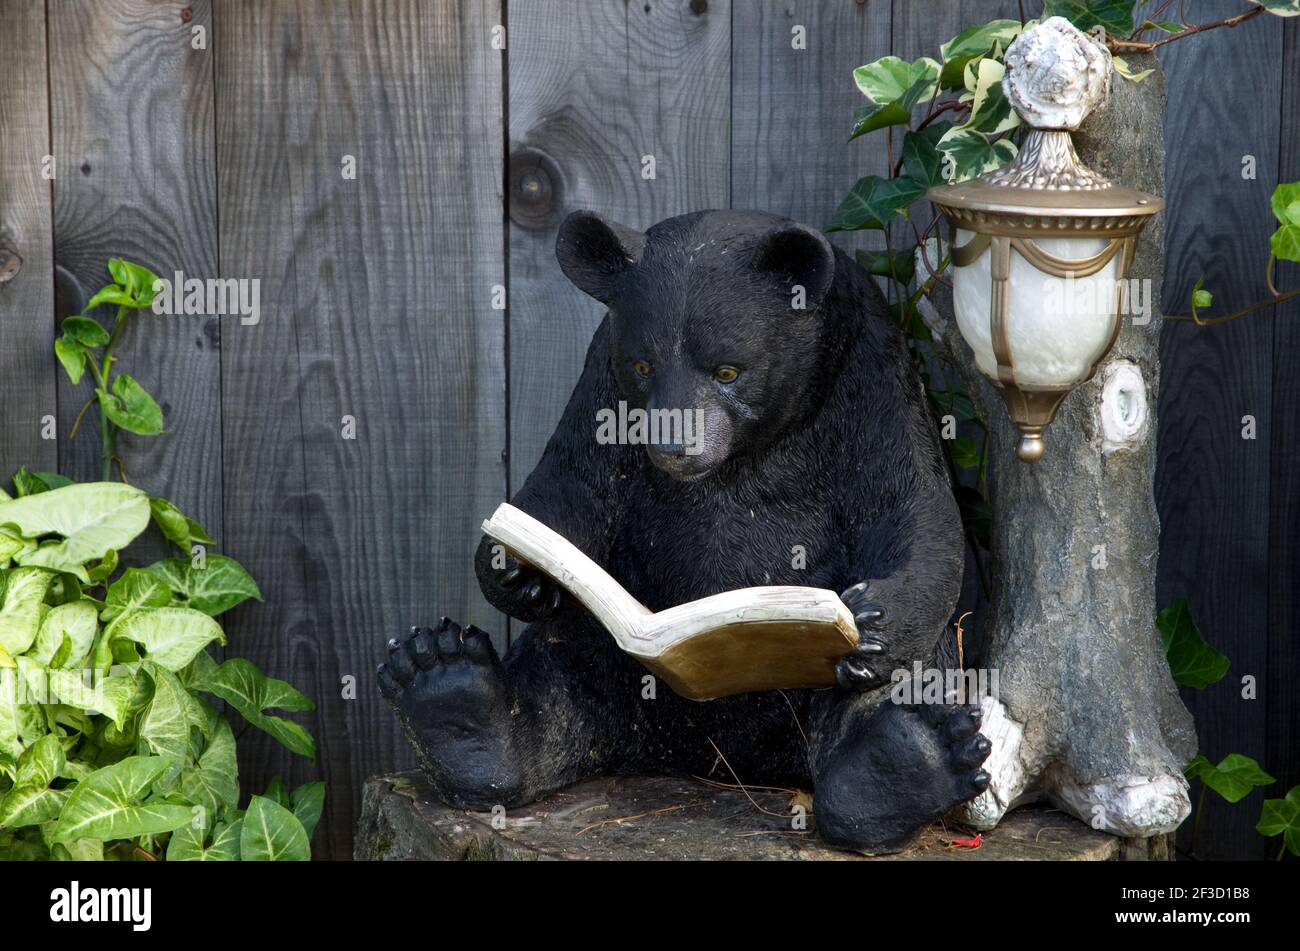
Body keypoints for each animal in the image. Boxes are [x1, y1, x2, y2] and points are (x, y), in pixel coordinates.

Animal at [378, 208, 991, 854]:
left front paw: (871, 621)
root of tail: (705, 756)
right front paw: (519, 567)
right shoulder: (602, 385)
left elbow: (913, 509)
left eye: (728, 369)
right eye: (644, 365)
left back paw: (903, 763)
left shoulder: (869, 376)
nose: (674, 446)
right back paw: (450, 695)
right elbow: (568, 486)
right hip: (605, 659)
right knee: (559, 675)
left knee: (889, 694)